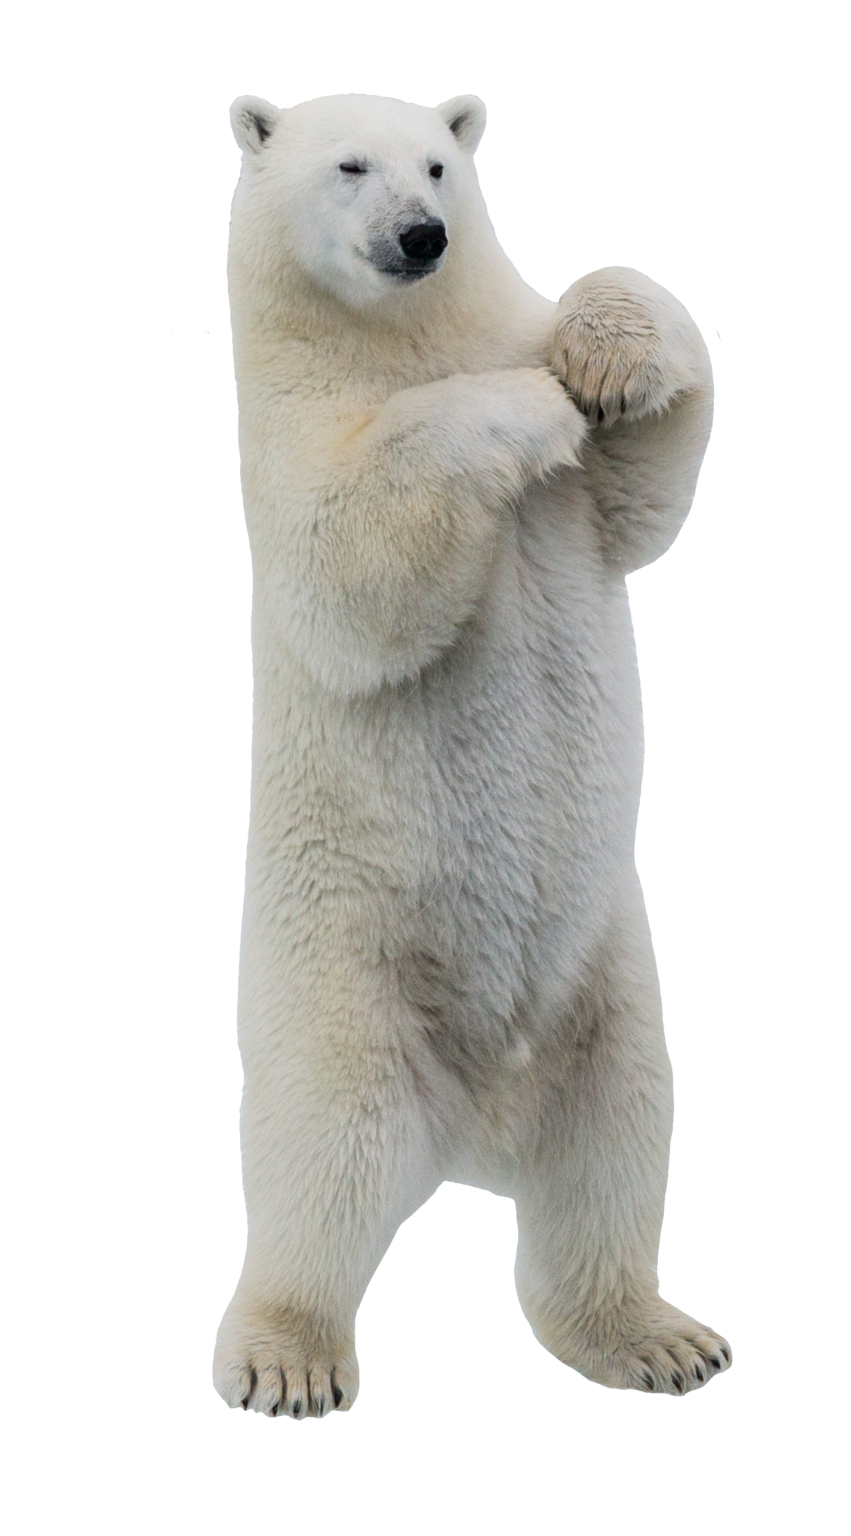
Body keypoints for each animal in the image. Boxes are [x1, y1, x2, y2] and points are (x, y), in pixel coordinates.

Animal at [213, 88, 733, 1420]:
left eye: (441, 167)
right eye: (349, 166)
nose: (419, 237)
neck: (400, 335)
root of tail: (471, 1135)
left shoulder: (583, 490)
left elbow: (642, 484)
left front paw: (598, 362)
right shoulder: (282, 439)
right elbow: (355, 564)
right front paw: (532, 406)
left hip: (607, 991)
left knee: (613, 1151)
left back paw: (658, 1340)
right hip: (339, 983)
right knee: (320, 1165)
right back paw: (287, 1359)